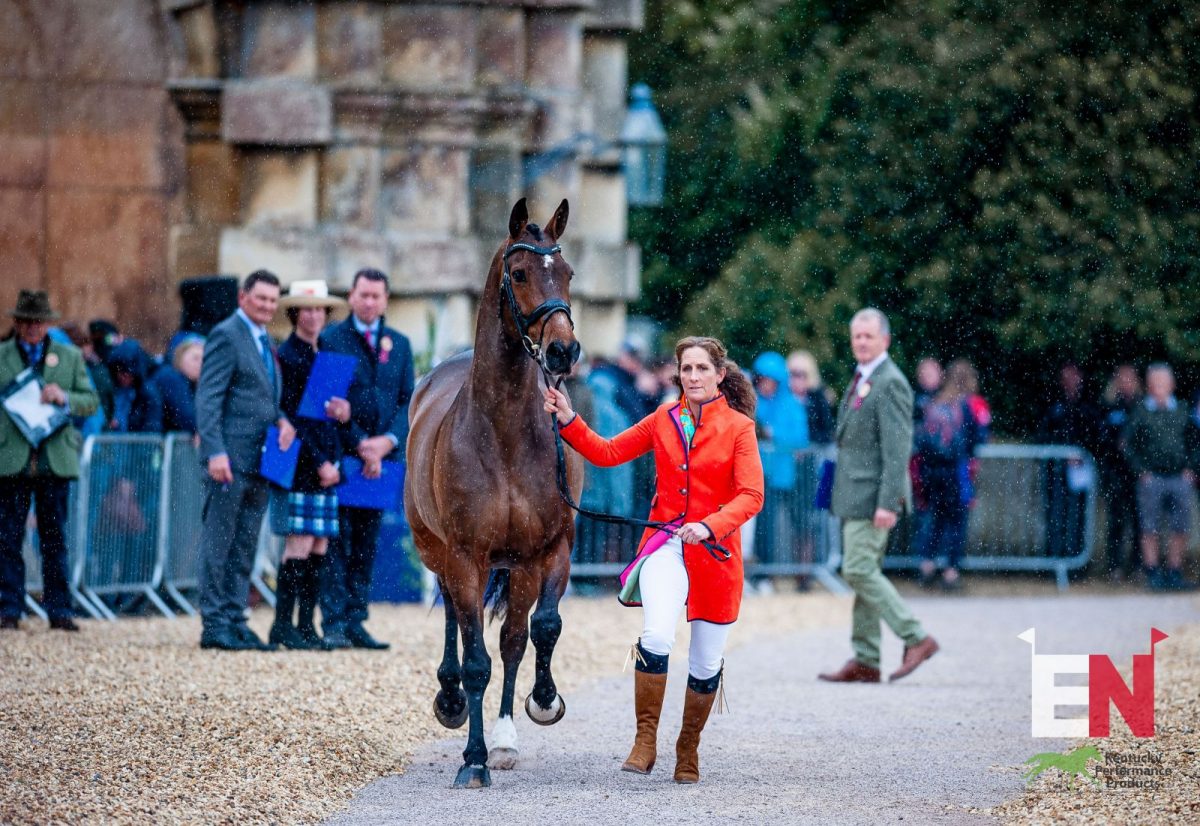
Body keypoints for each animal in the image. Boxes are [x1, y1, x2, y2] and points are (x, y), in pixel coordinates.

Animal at [404, 198, 584, 789]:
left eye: (567, 273)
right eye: (521, 273)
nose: (563, 350)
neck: (504, 431)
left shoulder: (547, 550)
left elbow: (537, 631)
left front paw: (542, 704)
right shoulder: (466, 556)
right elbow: (476, 659)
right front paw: (474, 759)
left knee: (510, 638)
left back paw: (505, 736)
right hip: (437, 552)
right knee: (455, 624)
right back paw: (451, 700)